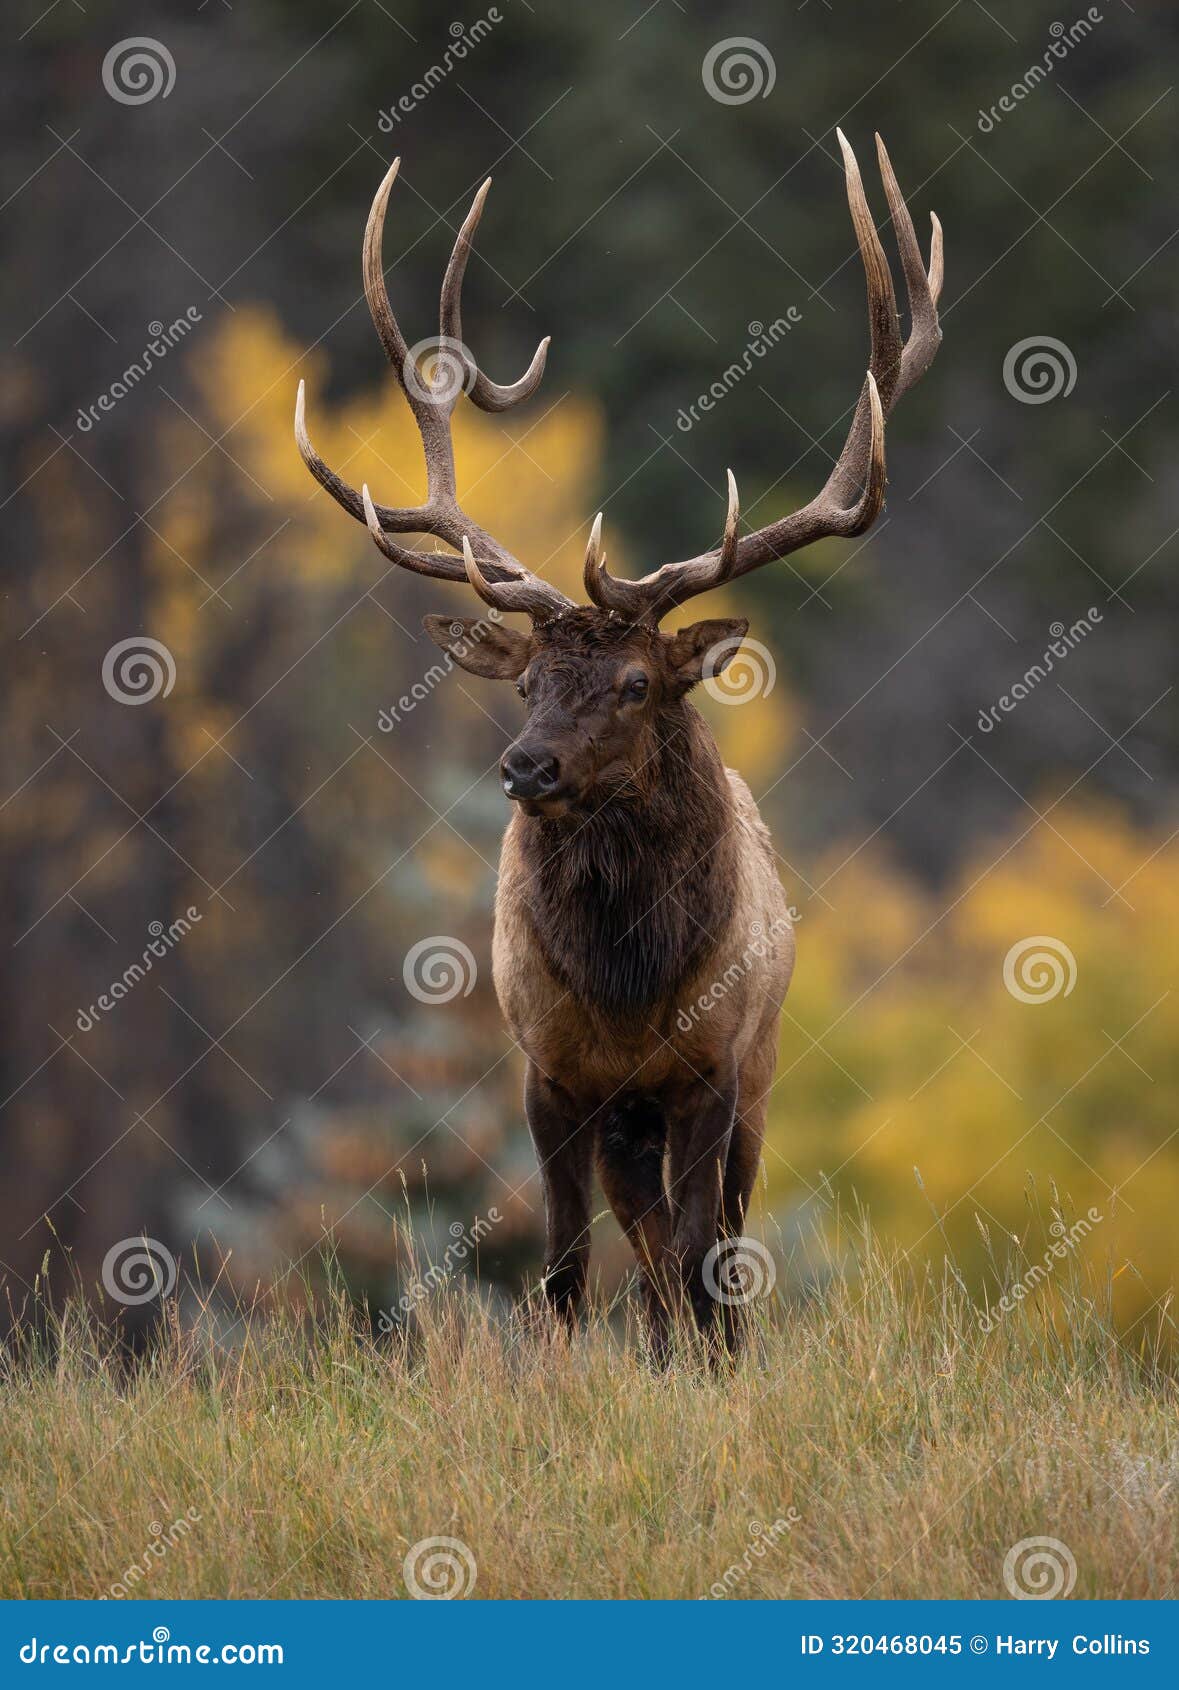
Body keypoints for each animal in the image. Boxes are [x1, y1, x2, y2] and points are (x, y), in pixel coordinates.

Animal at [295, 134, 942, 1357]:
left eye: (638, 683)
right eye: (528, 683)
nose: (526, 767)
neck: (631, 986)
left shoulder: (714, 1070)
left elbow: (699, 1258)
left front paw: (698, 1366)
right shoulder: (549, 1074)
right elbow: (561, 1266)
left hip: (758, 1076)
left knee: (709, 1253)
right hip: (624, 1121)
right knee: (641, 1258)